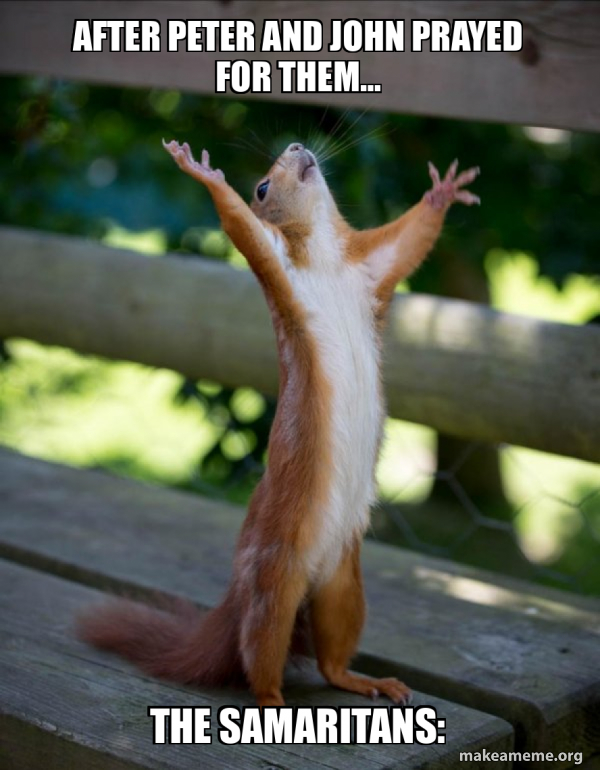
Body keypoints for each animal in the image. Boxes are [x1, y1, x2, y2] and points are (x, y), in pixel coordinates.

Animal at [78, 139, 479, 708]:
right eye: (262, 187)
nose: (296, 146)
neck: (327, 258)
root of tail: (238, 595)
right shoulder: (277, 264)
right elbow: (240, 225)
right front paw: (204, 173)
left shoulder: (372, 267)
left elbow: (410, 240)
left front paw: (442, 192)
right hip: (274, 583)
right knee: (258, 656)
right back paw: (273, 700)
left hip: (344, 586)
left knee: (332, 659)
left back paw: (366, 680)